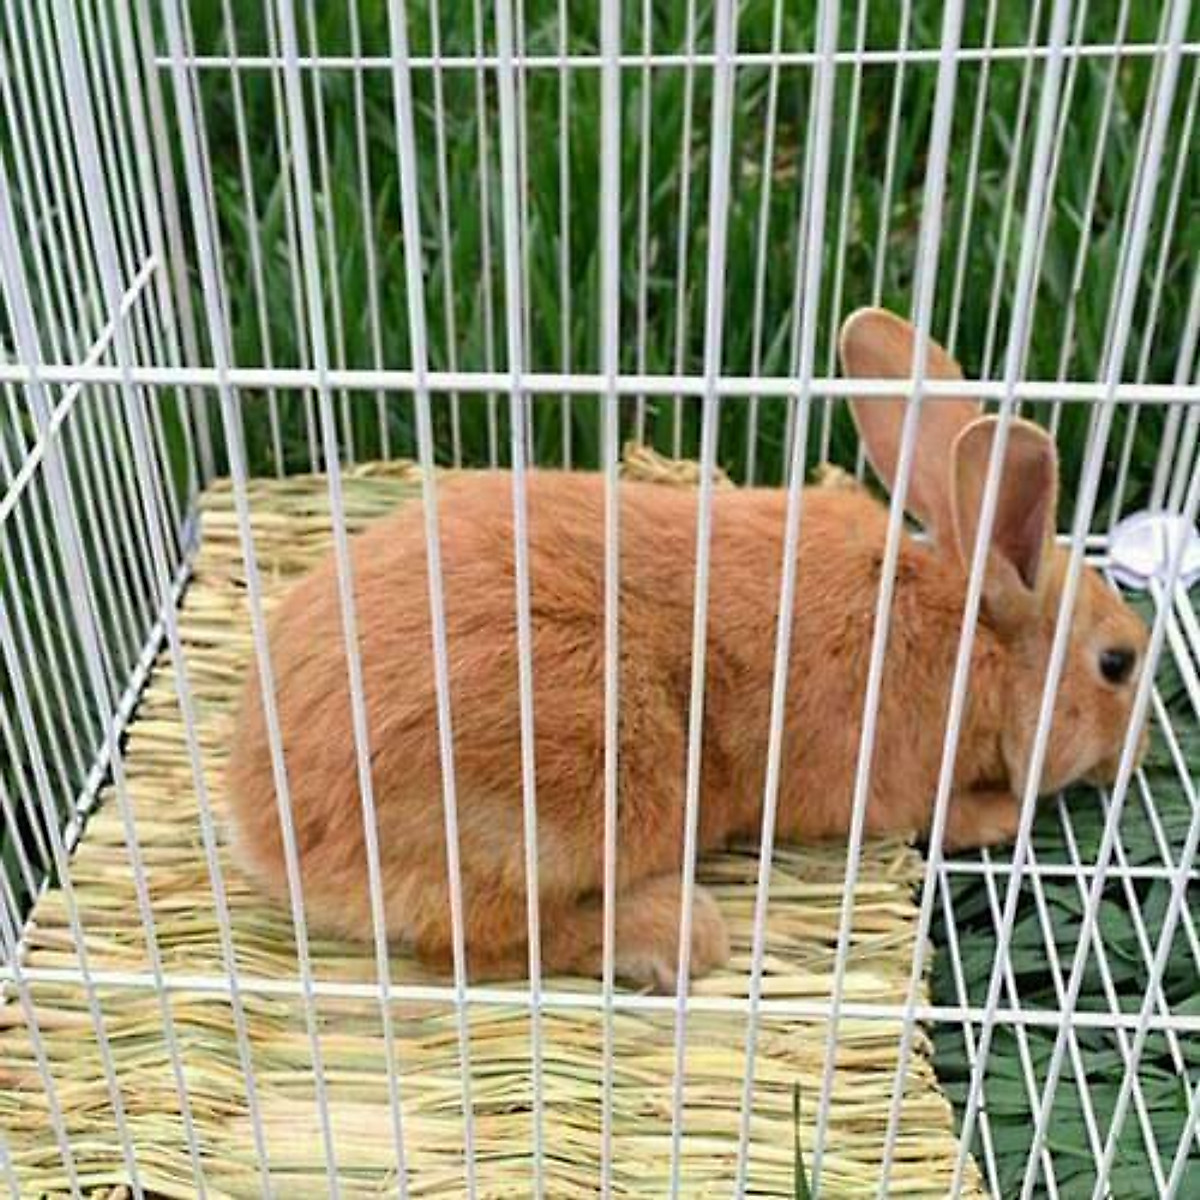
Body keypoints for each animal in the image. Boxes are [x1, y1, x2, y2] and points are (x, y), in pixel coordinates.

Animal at [224, 307, 1149, 992]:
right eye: (1117, 663)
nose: (1135, 755)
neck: (972, 637)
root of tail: (275, 835)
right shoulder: (894, 787)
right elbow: (942, 816)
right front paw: (1004, 816)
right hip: (588, 791)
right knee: (473, 942)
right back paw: (675, 933)